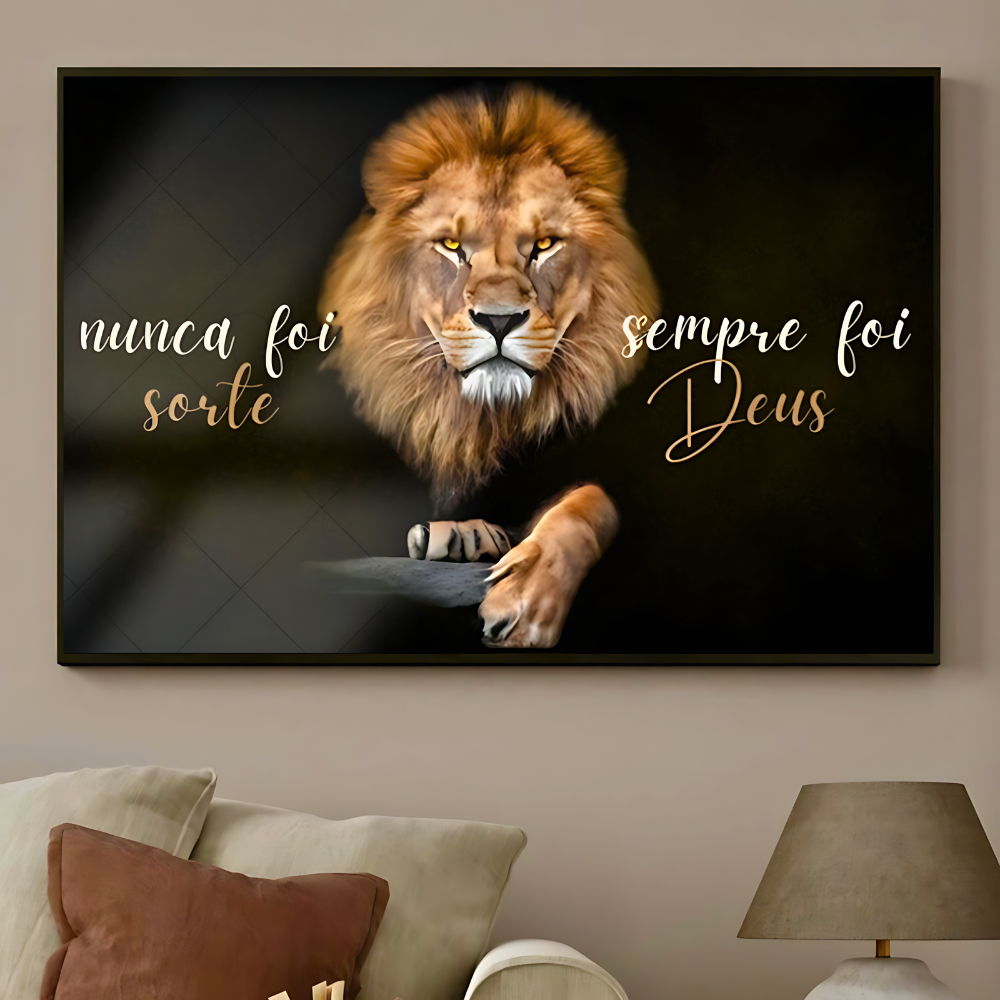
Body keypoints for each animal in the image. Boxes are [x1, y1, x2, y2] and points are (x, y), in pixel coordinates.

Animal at [318, 84, 659, 649]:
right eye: (453, 246)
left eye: (544, 245)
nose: (499, 321)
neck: (483, 419)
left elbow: (585, 506)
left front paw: (526, 602)